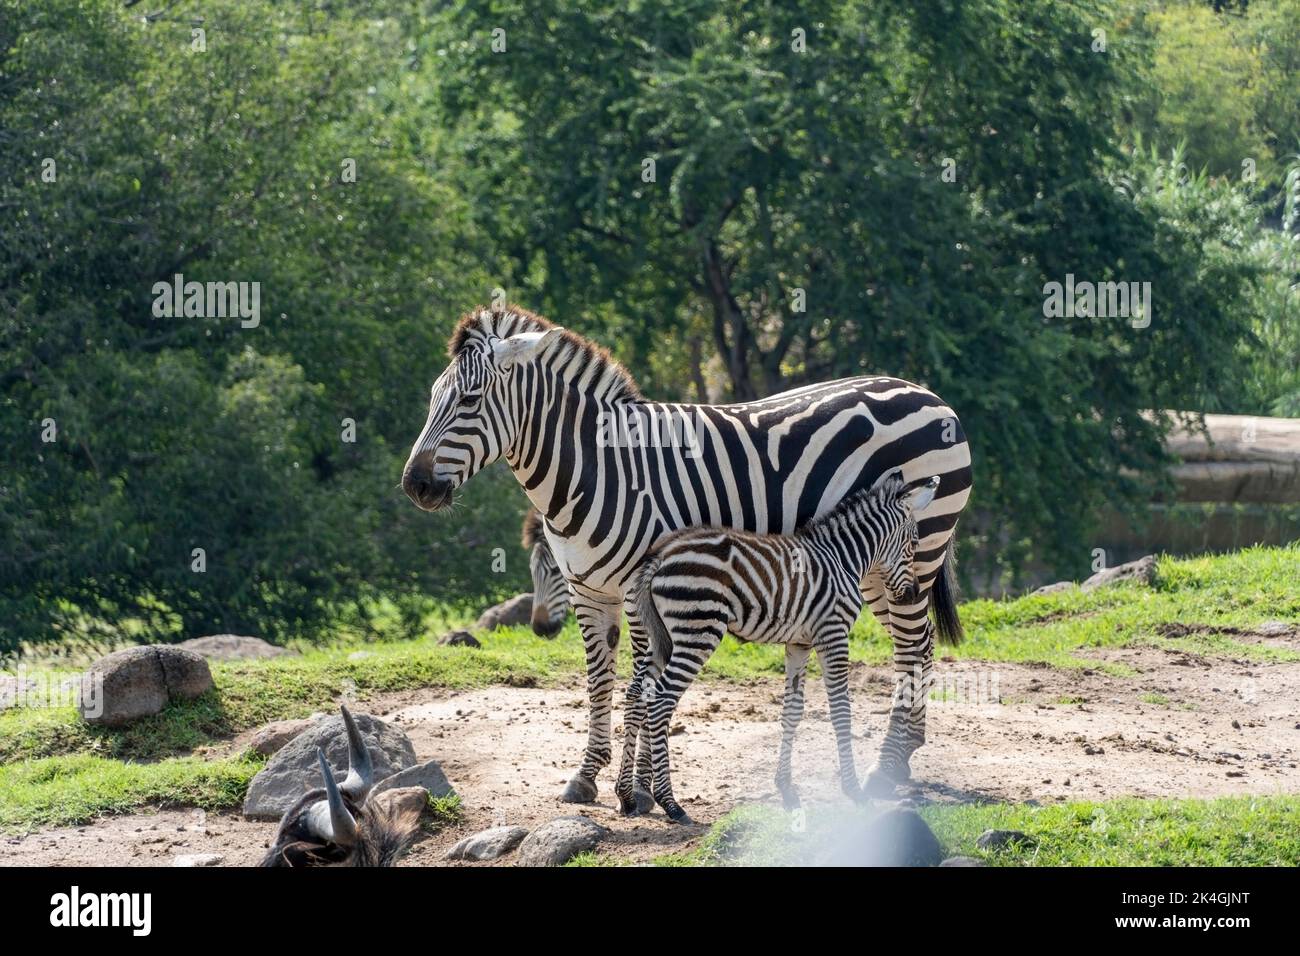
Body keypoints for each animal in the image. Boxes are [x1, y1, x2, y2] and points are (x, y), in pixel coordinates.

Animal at [633, 472, 940, 823]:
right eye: (914, 544)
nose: (912, 593)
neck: (843, 558)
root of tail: (662, 553)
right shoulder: (832, 633)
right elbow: (841, 710)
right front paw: (853, 791)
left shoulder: (799, 642)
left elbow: (792, 711)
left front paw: (787, 790)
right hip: (698, 630)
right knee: (661, 701)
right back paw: (671, 803)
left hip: (666, 636)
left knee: (645, 694)